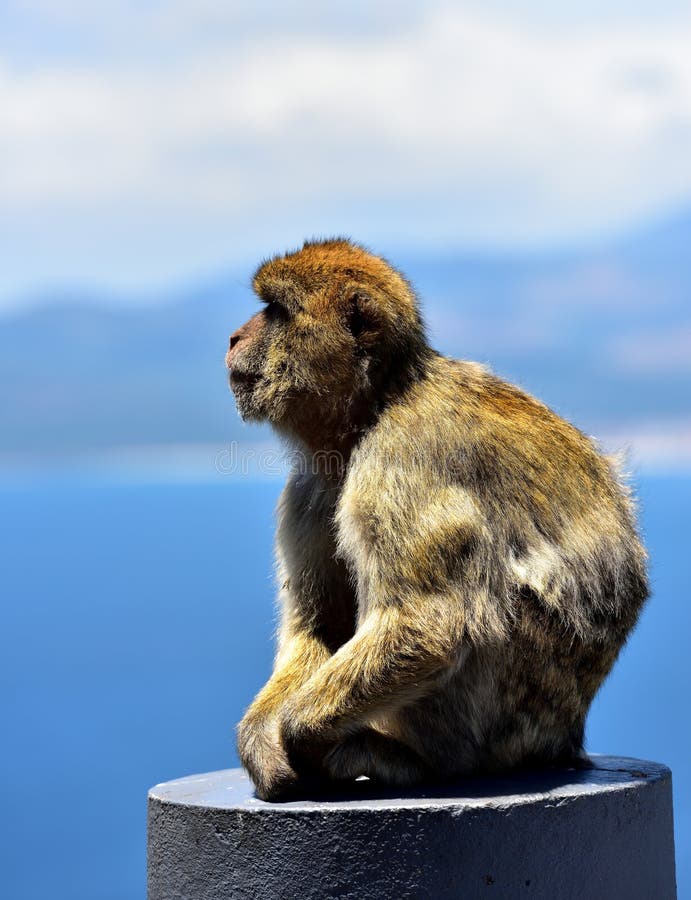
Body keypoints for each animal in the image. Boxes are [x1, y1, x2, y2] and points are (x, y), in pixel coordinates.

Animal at [226, 238, 648, 802]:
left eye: (273, 310)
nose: (234, 337)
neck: (375, 406)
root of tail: (567, 738)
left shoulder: (399, 461)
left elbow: (430, 622)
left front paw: (298, 737)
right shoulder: (308, 490)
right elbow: (320, 624)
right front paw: (259, 740)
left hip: (509, 726)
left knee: (484, 606)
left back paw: (411, 762)